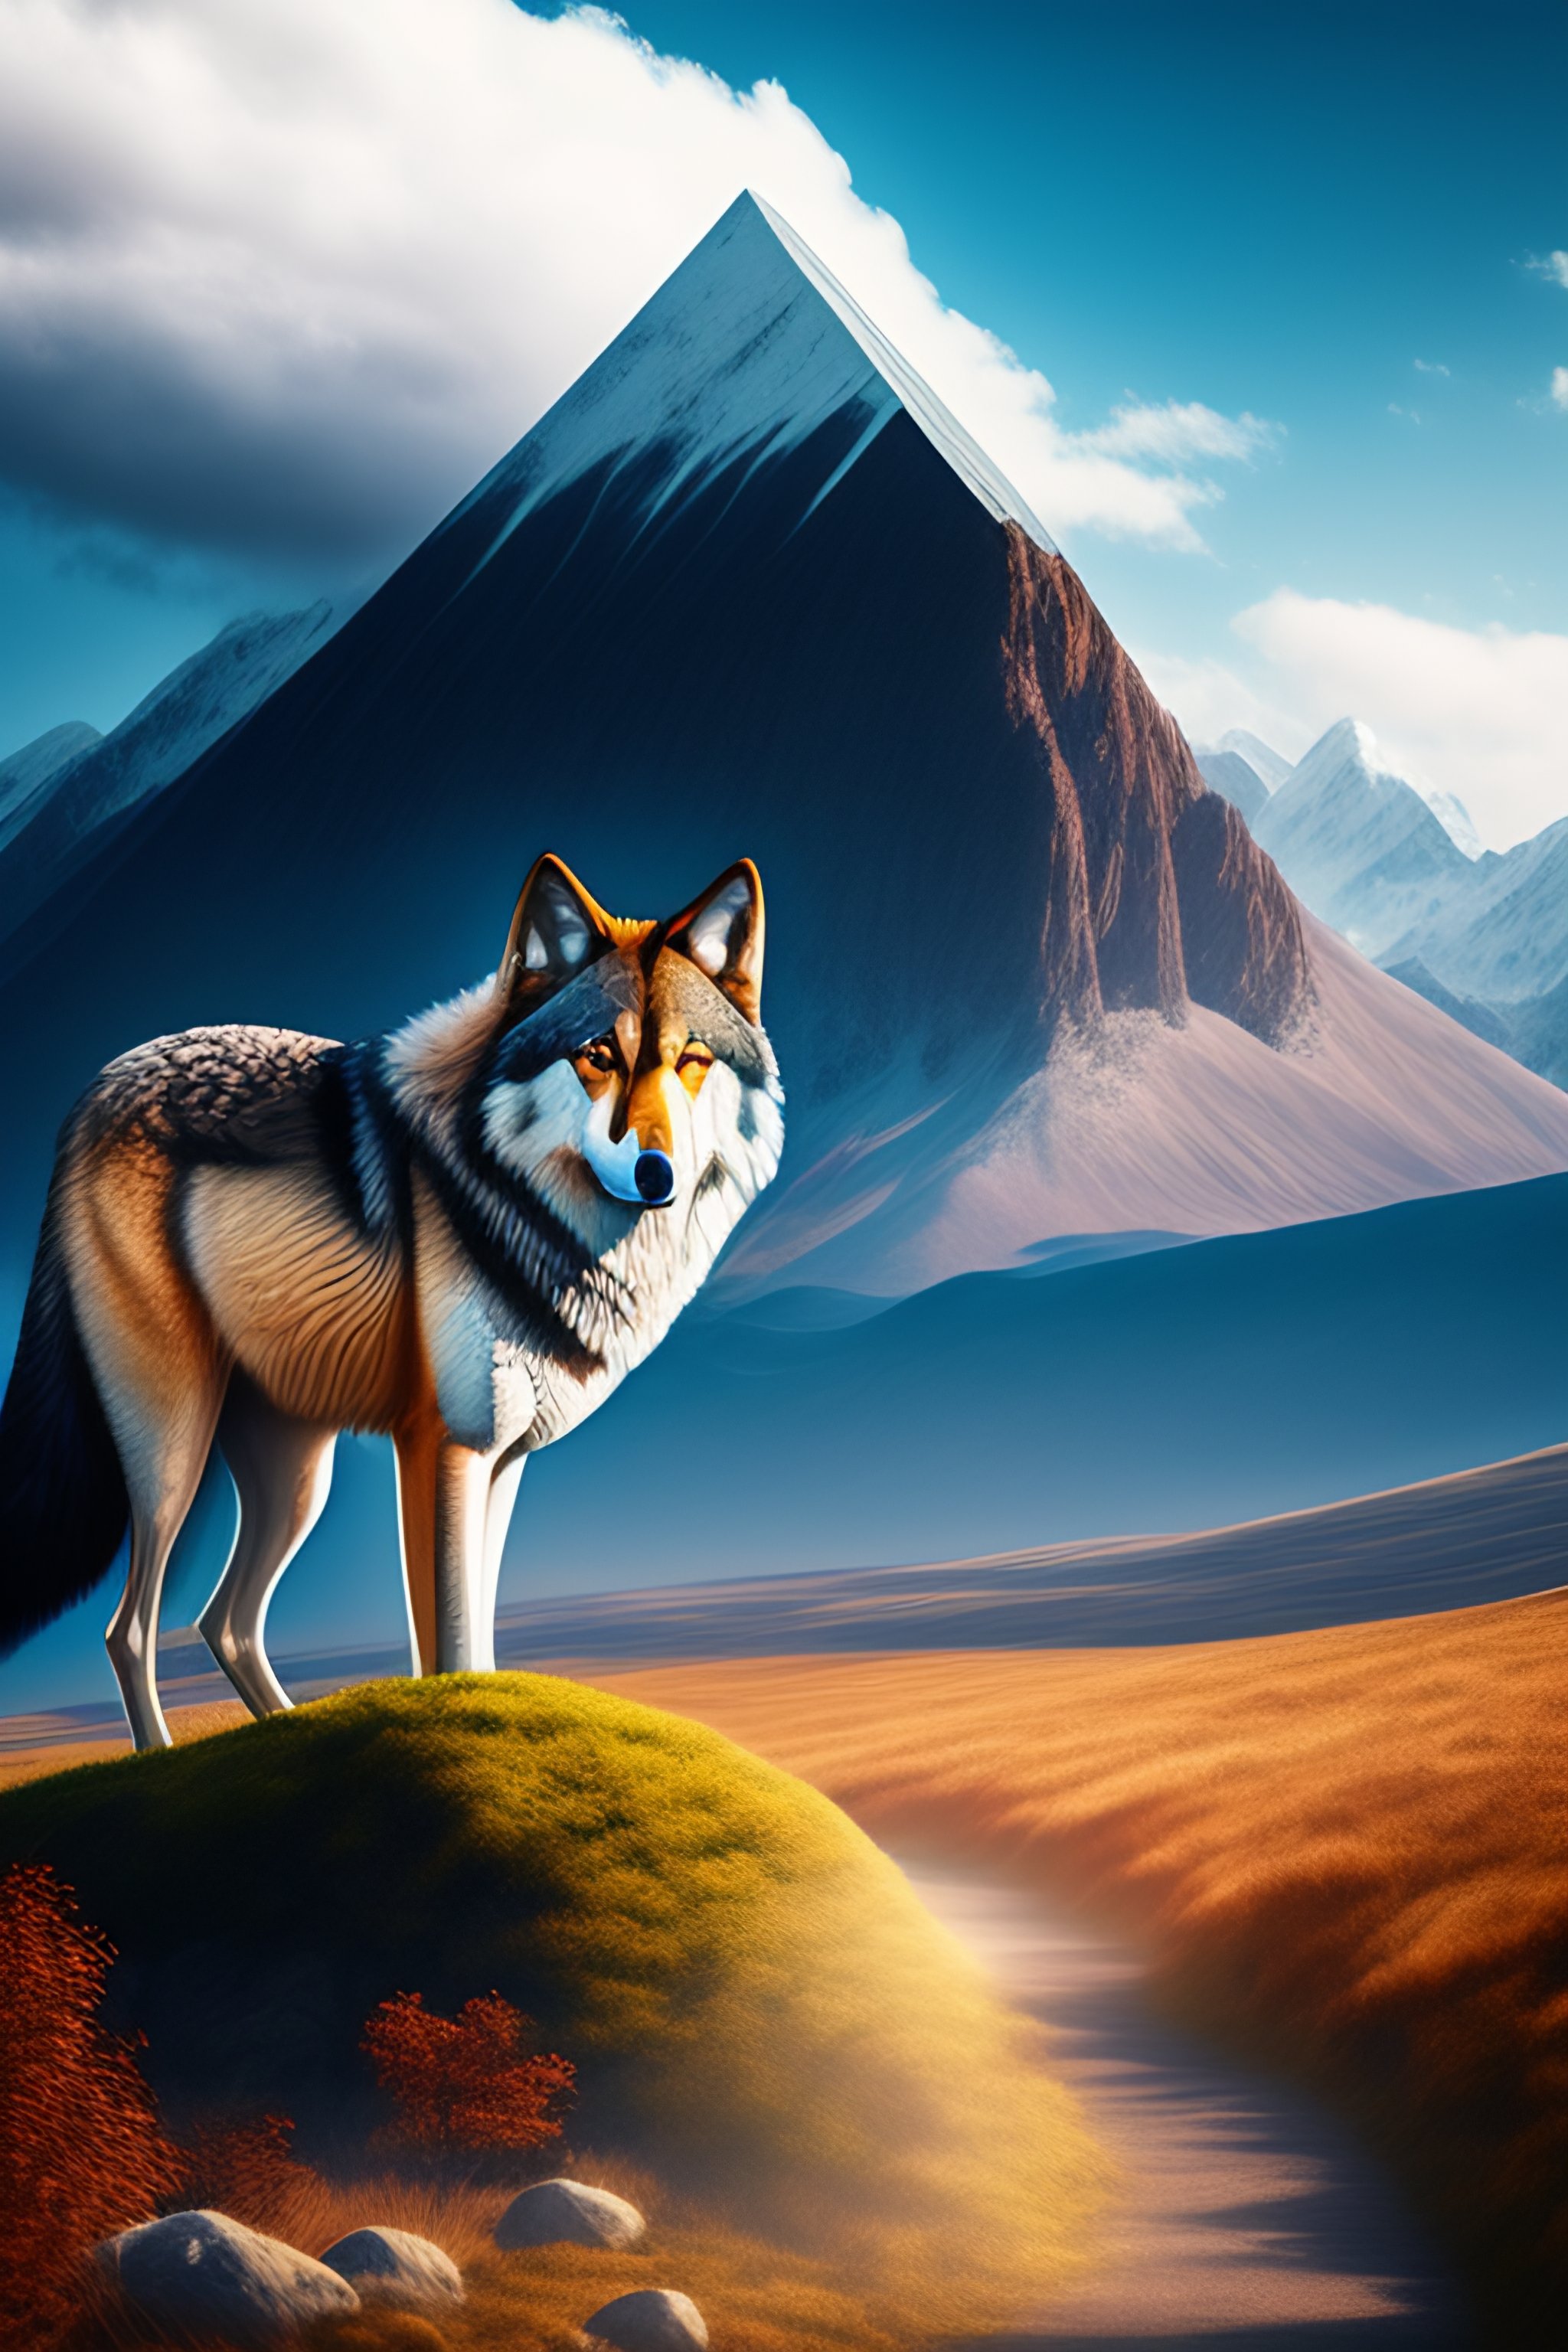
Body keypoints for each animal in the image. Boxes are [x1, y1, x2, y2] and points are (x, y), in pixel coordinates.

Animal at [0, 854, 782, 1750]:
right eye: (597, 1056)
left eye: (691, 1060)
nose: (657, 1174)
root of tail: (93, 1090)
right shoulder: (442, 1446)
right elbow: (446, 1642)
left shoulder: (503, 1460)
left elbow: (480, 1635)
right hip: (173, 1456)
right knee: (129, 1628)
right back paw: (161, 1758)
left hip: (298, 1477)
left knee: (223, 1620)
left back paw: (294, 1733)